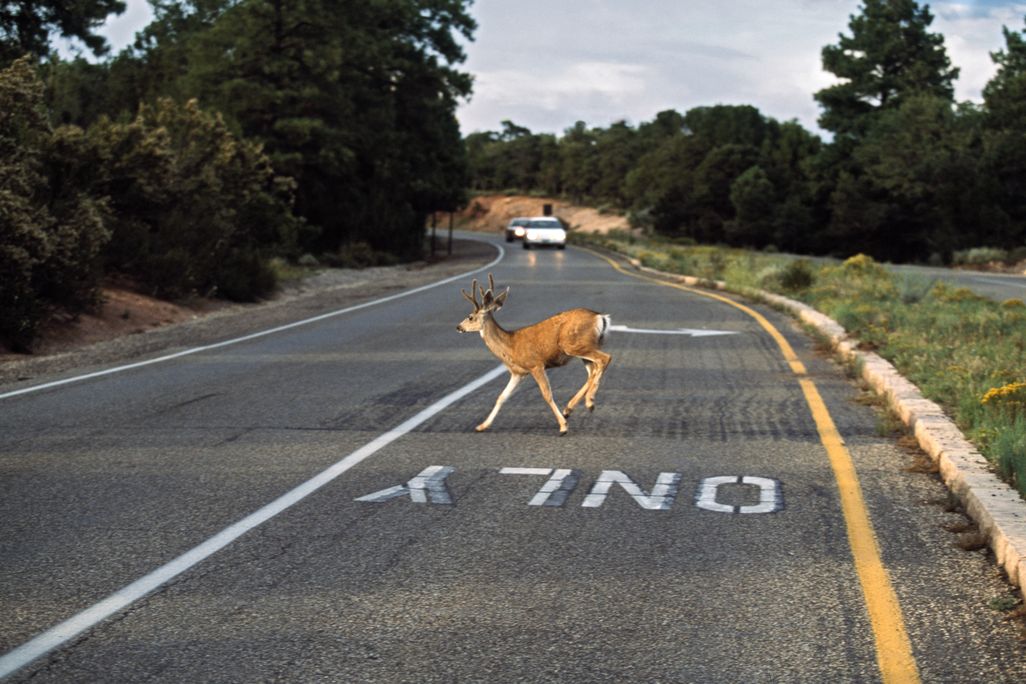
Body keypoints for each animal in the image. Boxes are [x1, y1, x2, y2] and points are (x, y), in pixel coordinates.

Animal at [456, 273, 612, 435]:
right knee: (592, 371)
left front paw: (563, 426)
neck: (510, 346)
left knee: (605, 358)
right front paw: (482, 425)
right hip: (583, 348)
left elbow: (547, 394)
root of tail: (600, 317)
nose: (458, 327)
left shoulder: (535, 365)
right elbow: (502, 397)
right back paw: (570, 408)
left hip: (574, 345)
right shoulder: (518, 373)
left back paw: (588, 402)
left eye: (470, 317)